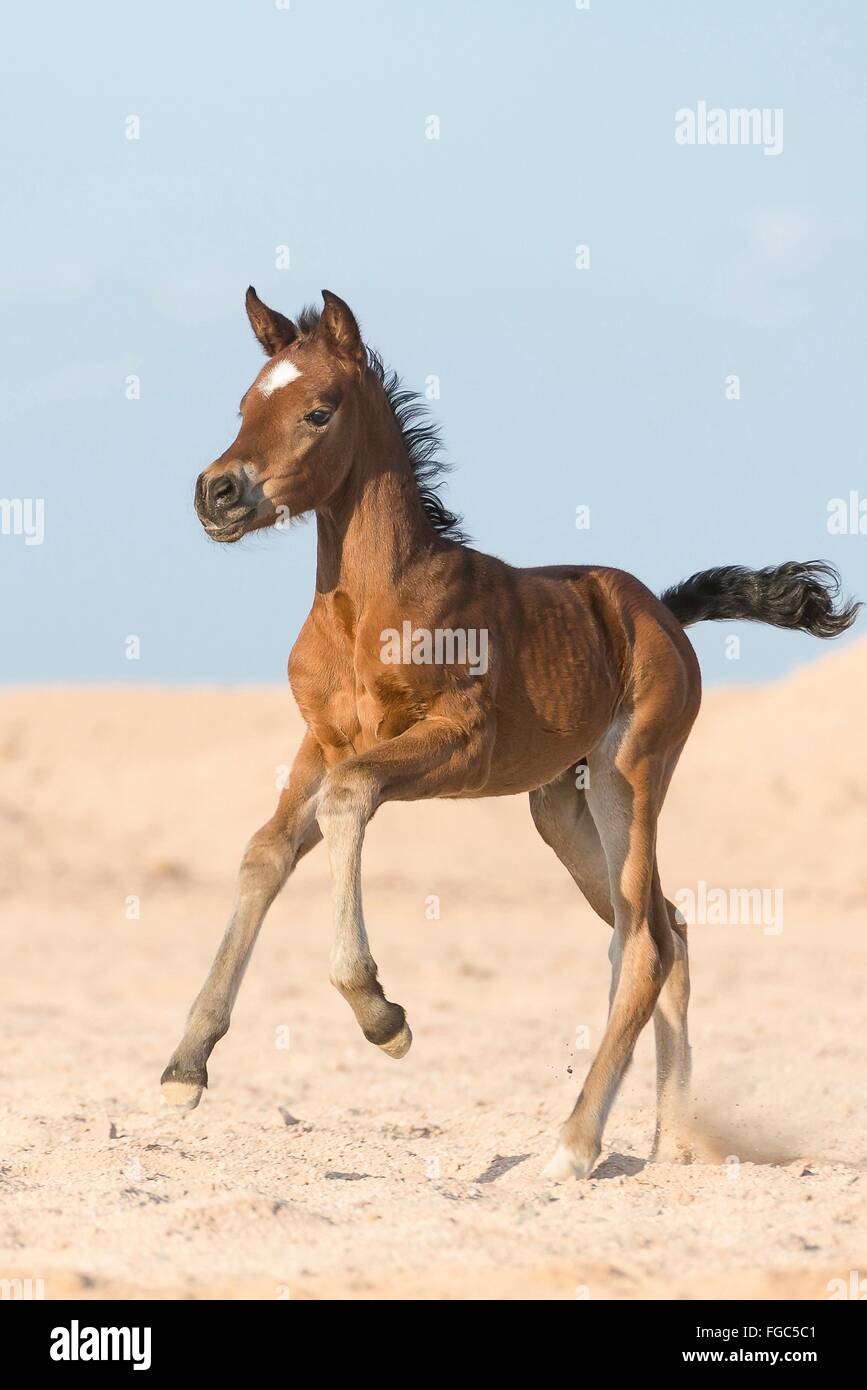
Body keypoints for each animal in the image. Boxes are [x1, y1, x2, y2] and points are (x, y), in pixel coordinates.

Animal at [161, 288, 858, 1179]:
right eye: (246, 404)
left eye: (317, 410)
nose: (217, 492)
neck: (369, 605)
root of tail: (663, 612)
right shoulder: (320, 741)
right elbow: (265, 852)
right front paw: (186, 1064)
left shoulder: (455, 743)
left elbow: (351, 801)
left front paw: (380, 1013)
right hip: (559, 806)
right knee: (665, 926)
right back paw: (669, 1145)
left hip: (631, 776)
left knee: (644, 942)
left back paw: (571, 1147)